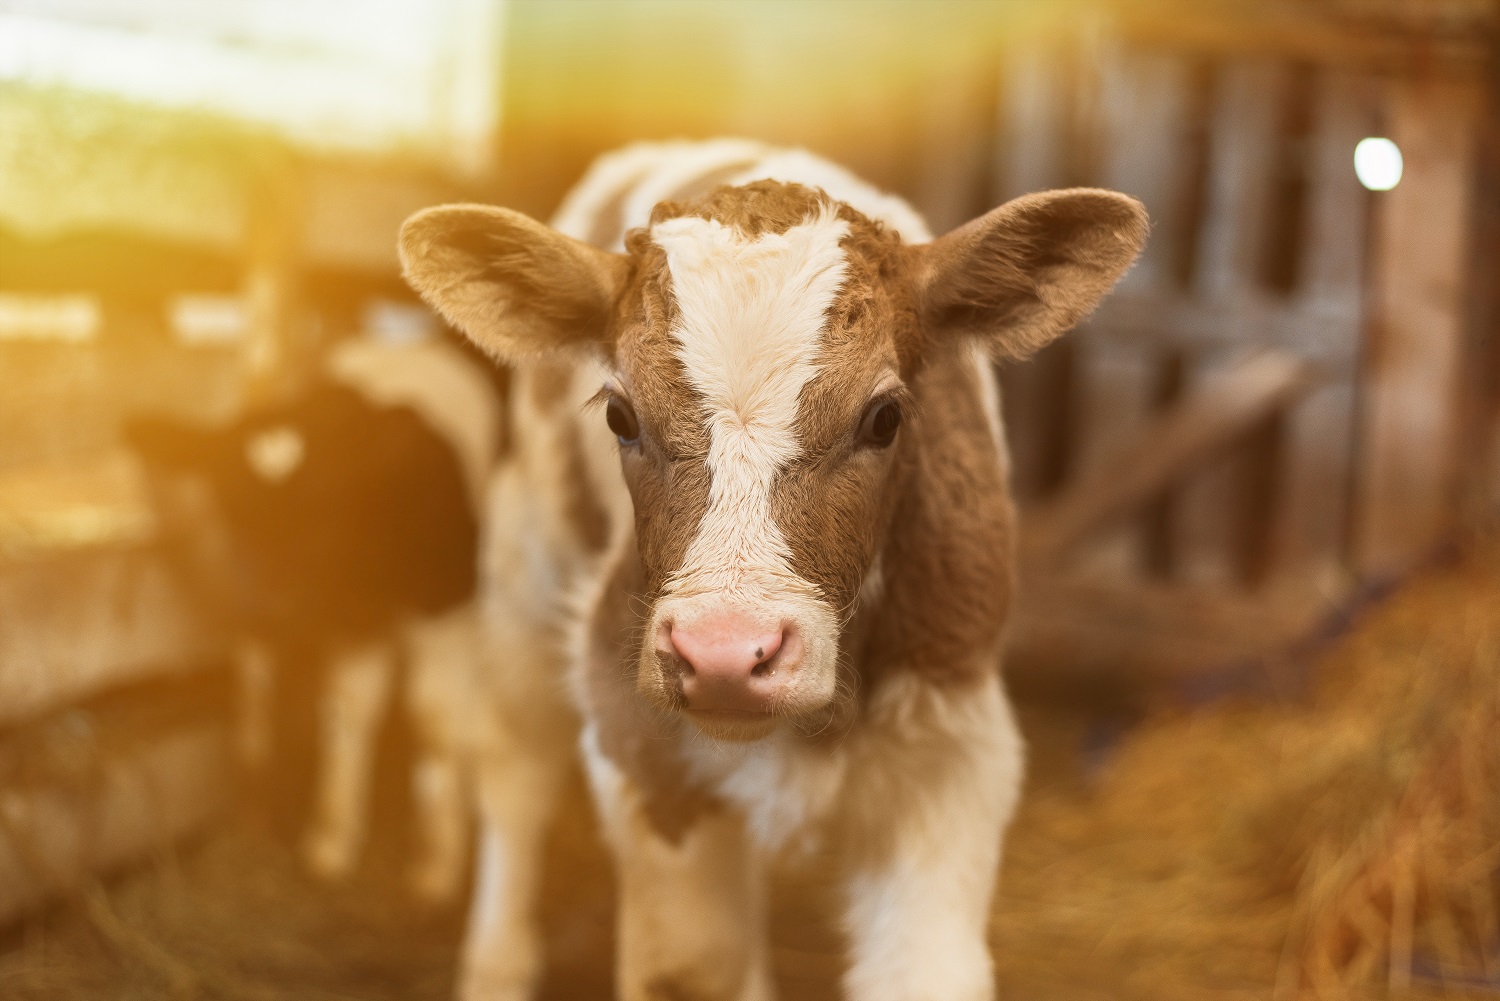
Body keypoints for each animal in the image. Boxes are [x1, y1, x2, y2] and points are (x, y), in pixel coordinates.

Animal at [126, 334, 499, 903]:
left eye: (328, 503)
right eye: (233, 507)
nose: (267, 608)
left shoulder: (450, 606)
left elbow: (432, 719)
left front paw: (437, 868)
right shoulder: (354, 622)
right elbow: (347, 713)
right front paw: (331, 844)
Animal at [401, 139, 1147, 1000]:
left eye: (885, 417)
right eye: (620, 414)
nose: (725, 653)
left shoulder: (953, 755)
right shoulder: (642, 751)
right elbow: (691, 965)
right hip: (527, 564)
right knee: (514, 766)